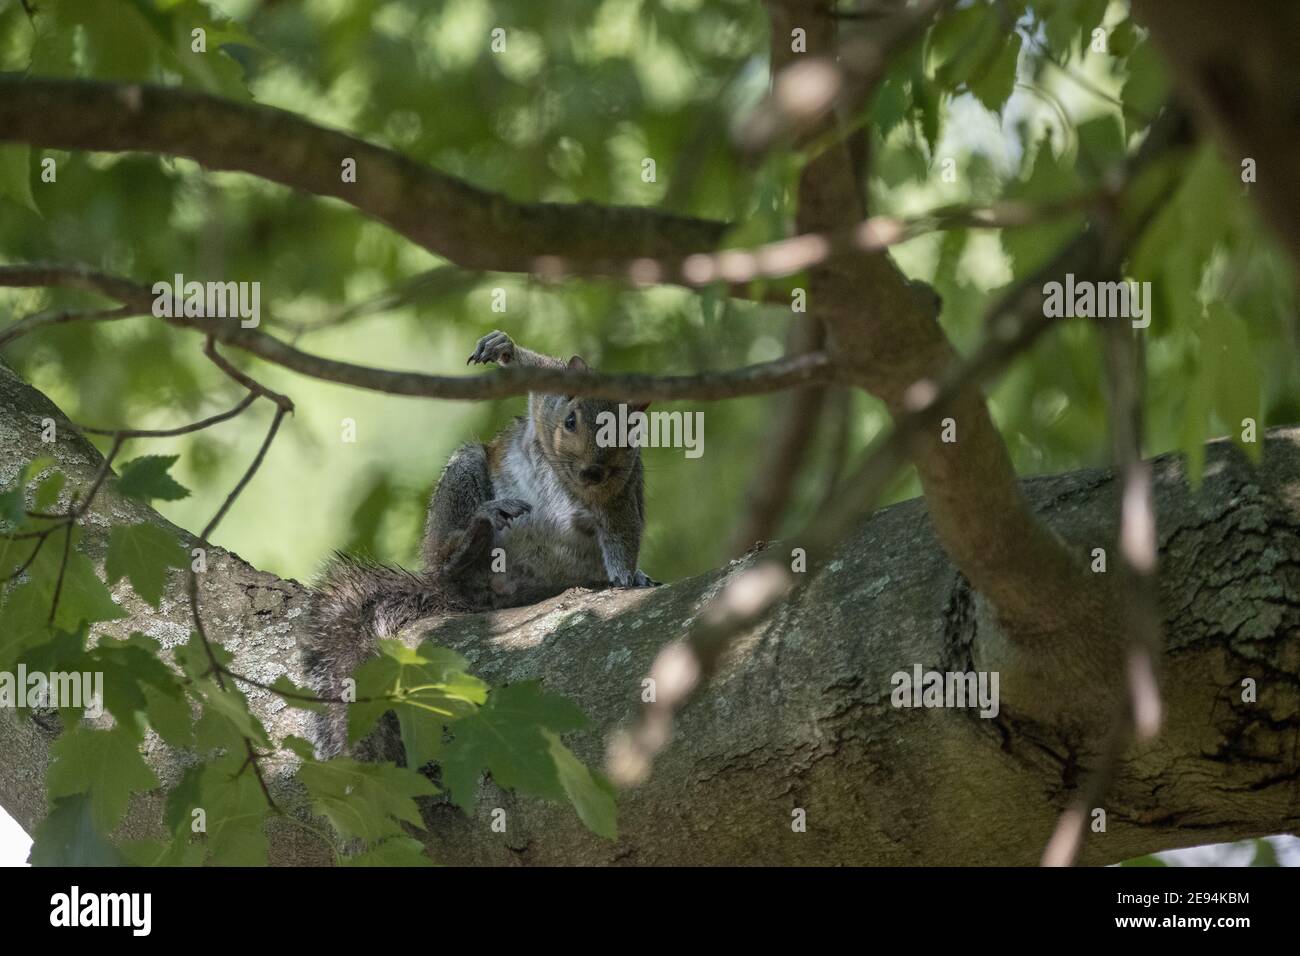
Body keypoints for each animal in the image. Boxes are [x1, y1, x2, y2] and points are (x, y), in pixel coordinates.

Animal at [304, 330, 655, 760]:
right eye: (571, 420)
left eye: (630, 433)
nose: (592, 471)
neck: (566, 476)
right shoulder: (548, 403)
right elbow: (541, 369)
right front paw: (503, 348)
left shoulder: (619, 497)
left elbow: (622, 536)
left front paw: (627, 577)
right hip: (464, 474)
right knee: (445, 554)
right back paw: (470, 539)